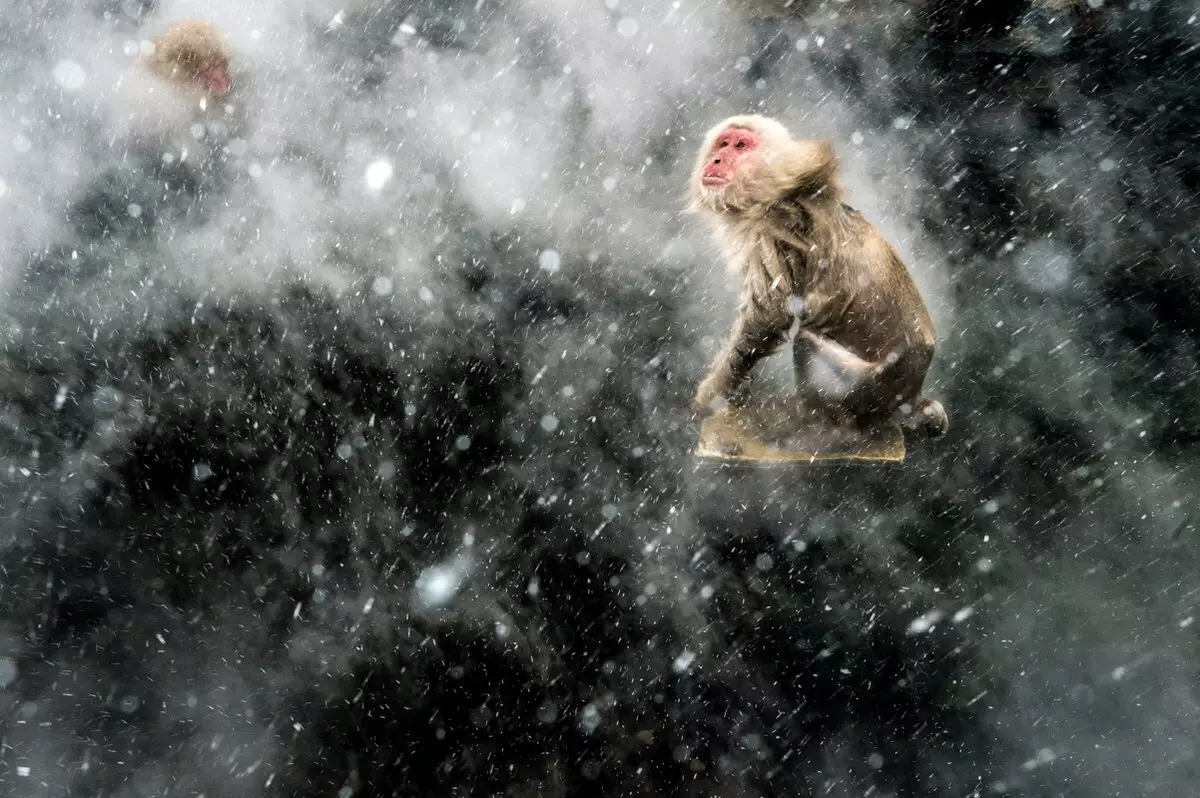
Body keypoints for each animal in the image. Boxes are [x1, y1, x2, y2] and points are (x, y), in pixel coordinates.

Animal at [691, 112, 950, 439]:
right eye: (723, 143)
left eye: (740, 145)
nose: (716, 159)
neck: (780, 185)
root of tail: (911, 395)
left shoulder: (775, 226)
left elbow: (769, 316)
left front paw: (712, 394)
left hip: (866, 386)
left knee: (806, 341)